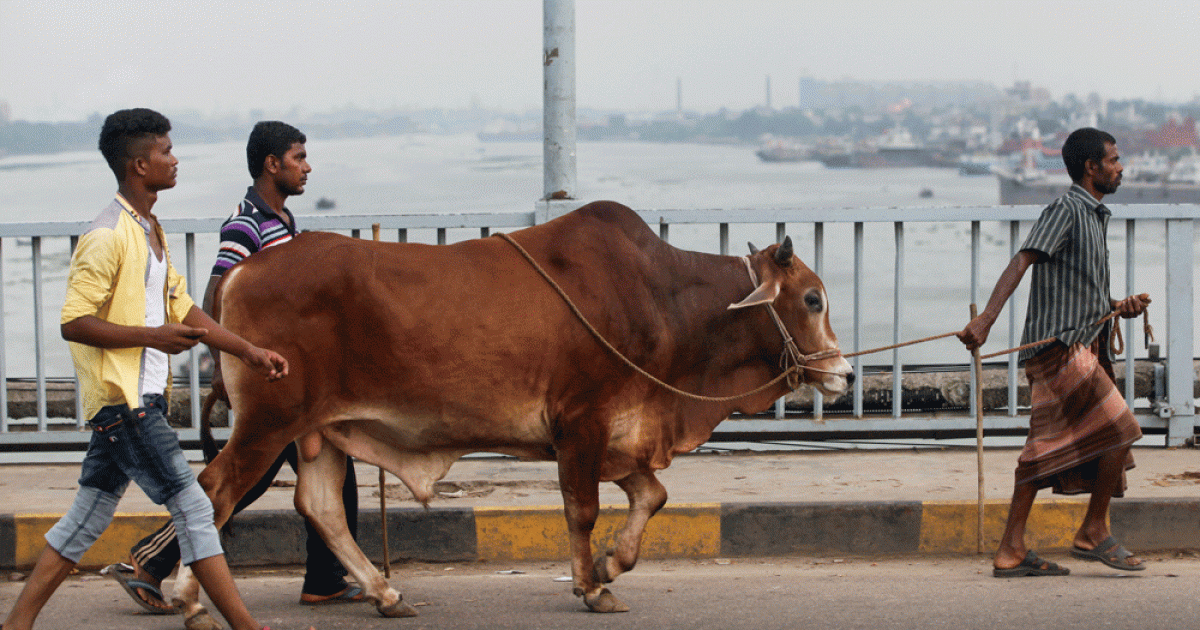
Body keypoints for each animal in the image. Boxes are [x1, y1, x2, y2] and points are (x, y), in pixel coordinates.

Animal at [171, 200, 853, 627]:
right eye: (812, 299)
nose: (845, 375)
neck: (660, 298)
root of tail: (242, 271)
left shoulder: (615, 434)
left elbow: (651, 496)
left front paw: (611, 564)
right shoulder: (582, 422)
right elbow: (583, 510)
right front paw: (591, 586)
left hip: (319, 430)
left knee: (320, 508)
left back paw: (386, 593)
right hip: (268, 421)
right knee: (214, 490)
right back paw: (186, 596)